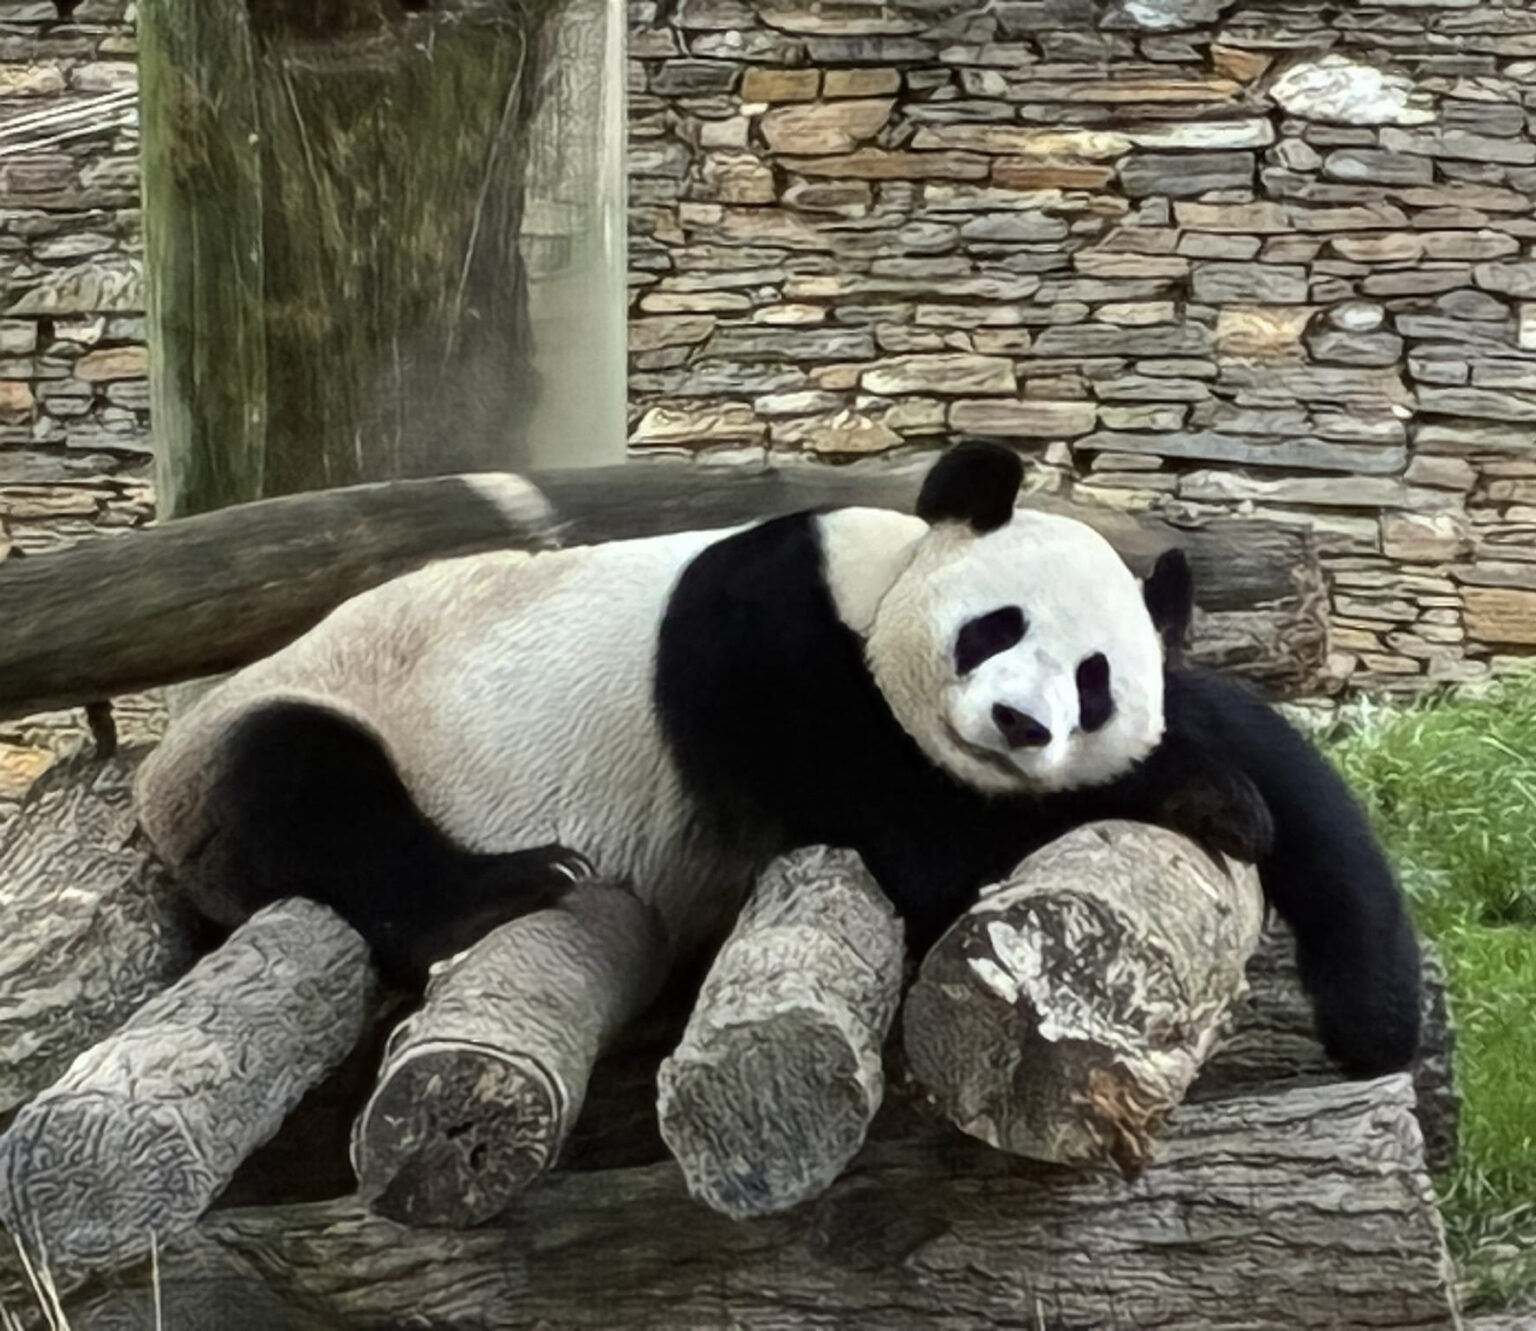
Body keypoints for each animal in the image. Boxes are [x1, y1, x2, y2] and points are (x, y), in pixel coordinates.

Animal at [136, 441, 1421, 1079]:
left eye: (1097, 679)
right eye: (995, 627)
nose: (1020, 724)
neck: (878, 575)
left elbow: (1278, 765)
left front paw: (1377, 1016)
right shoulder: (756, 642)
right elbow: (910, 830)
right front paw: (1206, 798)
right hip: (311, 719)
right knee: (299, 782)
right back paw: (506, 884)